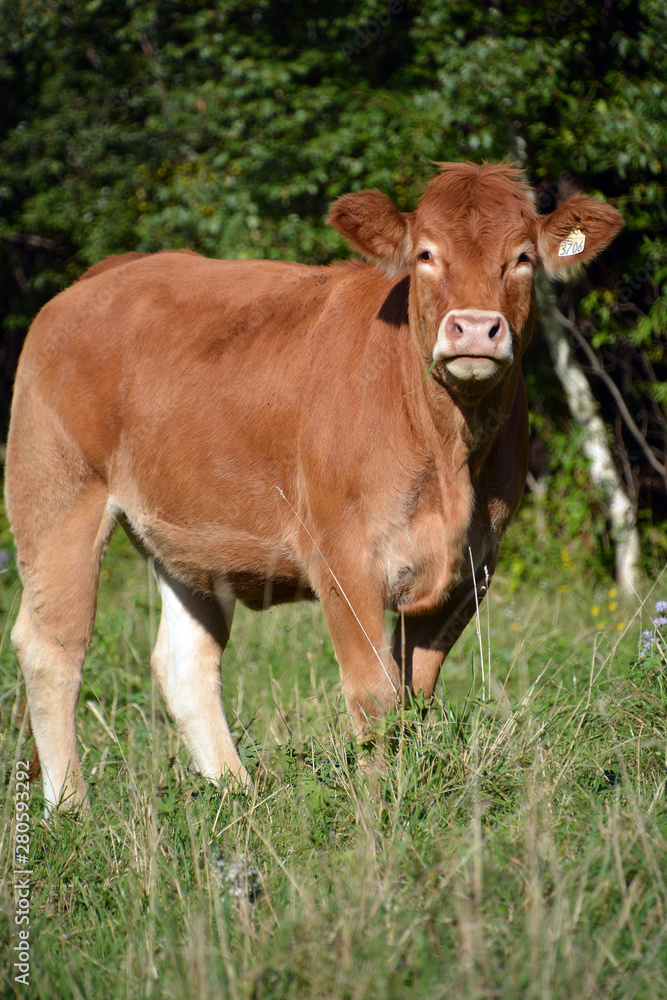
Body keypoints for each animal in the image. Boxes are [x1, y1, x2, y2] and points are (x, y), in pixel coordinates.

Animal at [5, 162, 622, 812]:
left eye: (523, 257)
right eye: (426, 254)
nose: (476, 328)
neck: (449, 453)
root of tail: (107, 273)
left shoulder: (472, 566)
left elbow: (415, 694)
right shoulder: (344, 557)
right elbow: (375, 694)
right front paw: (380, 806)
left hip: (189, 537)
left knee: (183, 662)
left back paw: (237, 795)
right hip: (57, 498)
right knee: (52, 647)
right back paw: (70, 806)